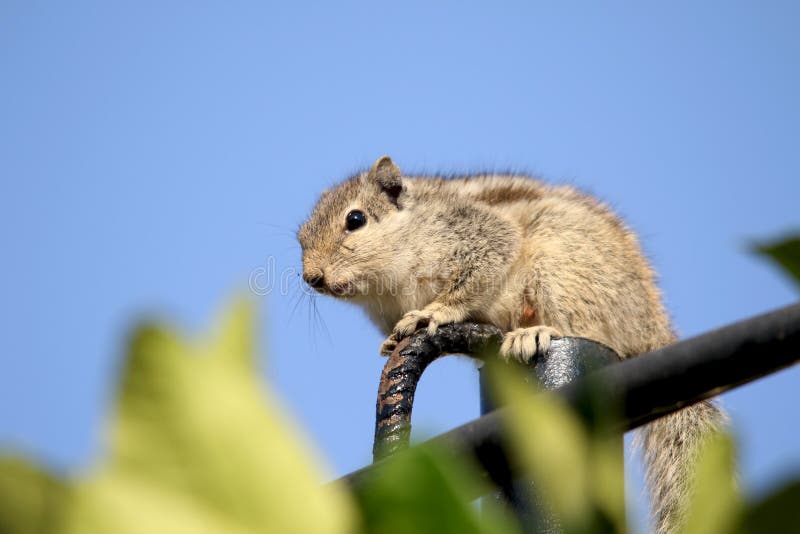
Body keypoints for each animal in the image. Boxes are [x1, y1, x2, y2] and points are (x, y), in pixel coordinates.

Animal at [297, 156, 724, 534]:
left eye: (355, 220)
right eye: (300, 237)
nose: (311, 277)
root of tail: (650, 326)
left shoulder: (476, 234)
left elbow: (478, 272)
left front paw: (433, 313)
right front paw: (398, 337)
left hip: (563, 269)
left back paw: (533, 332)